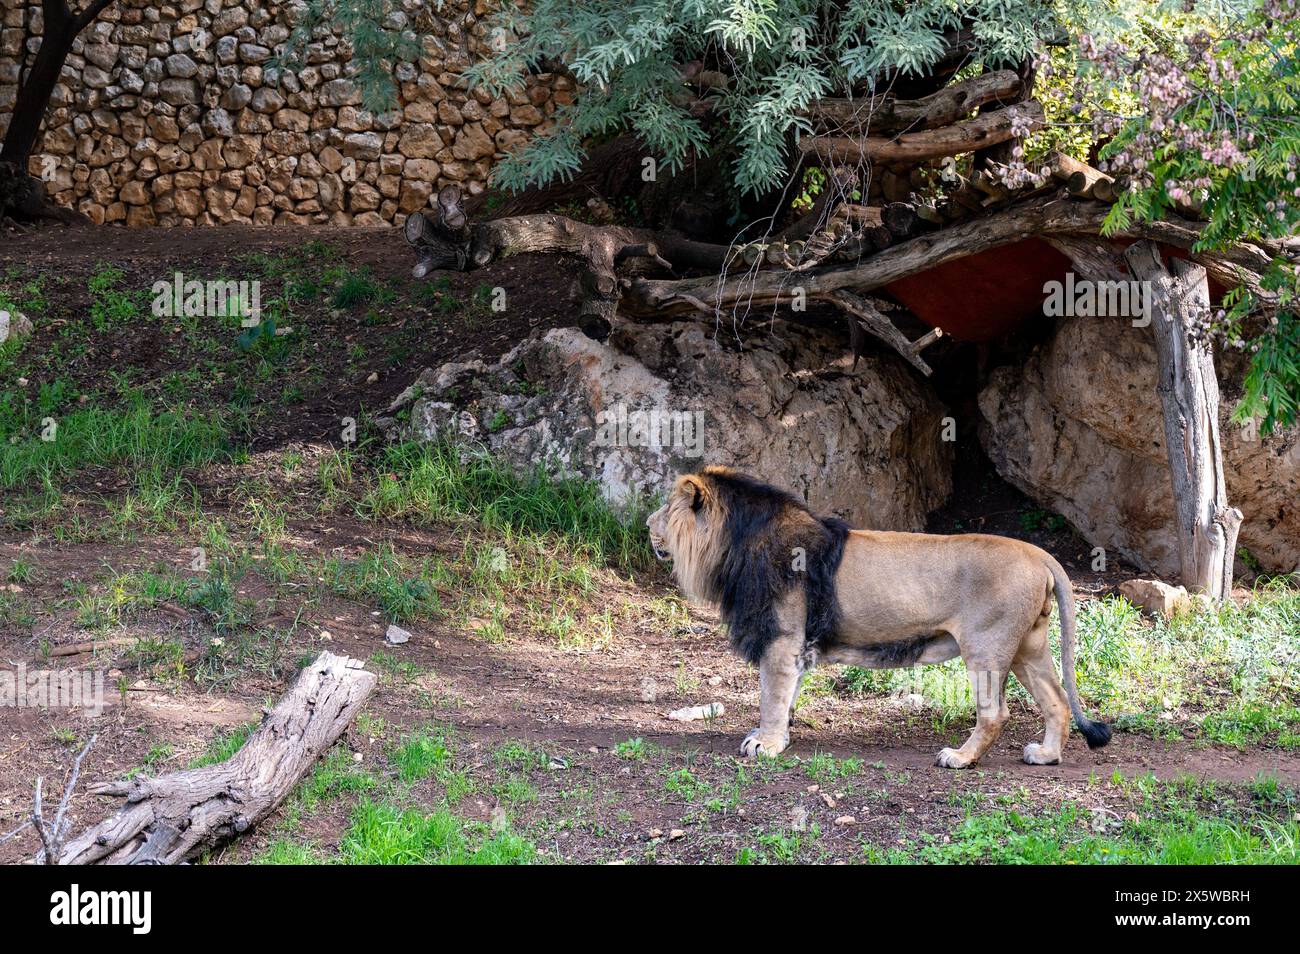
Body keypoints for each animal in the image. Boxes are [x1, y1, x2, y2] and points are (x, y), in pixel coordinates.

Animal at [646, 466, 1111, 768]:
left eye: (667, 508)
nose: (647, 522)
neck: (735, 545)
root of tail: (1038, 553)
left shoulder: (781, 638)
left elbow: (771, 697)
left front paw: (767, 744)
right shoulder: (796, 644)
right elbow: (788, 695)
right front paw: (781, 736)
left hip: (985, 646)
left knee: (995, 713)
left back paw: (959, 758)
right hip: (1027, 646)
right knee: (1057, 701)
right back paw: (1045, 755)